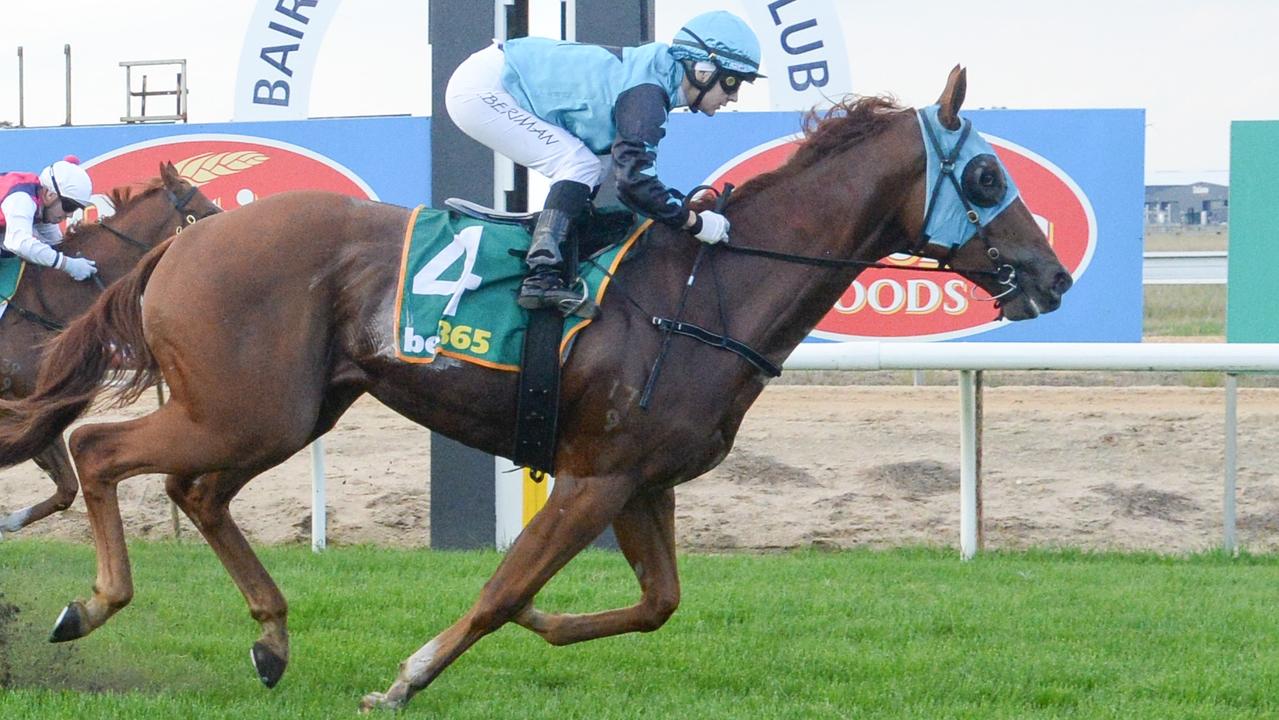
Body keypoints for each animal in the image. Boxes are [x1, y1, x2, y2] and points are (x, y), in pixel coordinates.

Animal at [0, 162, 220, 536]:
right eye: (201, 211)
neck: (42, 303)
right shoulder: (20, 404)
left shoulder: (38, 407)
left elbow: (67, 488)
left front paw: (9, 521)